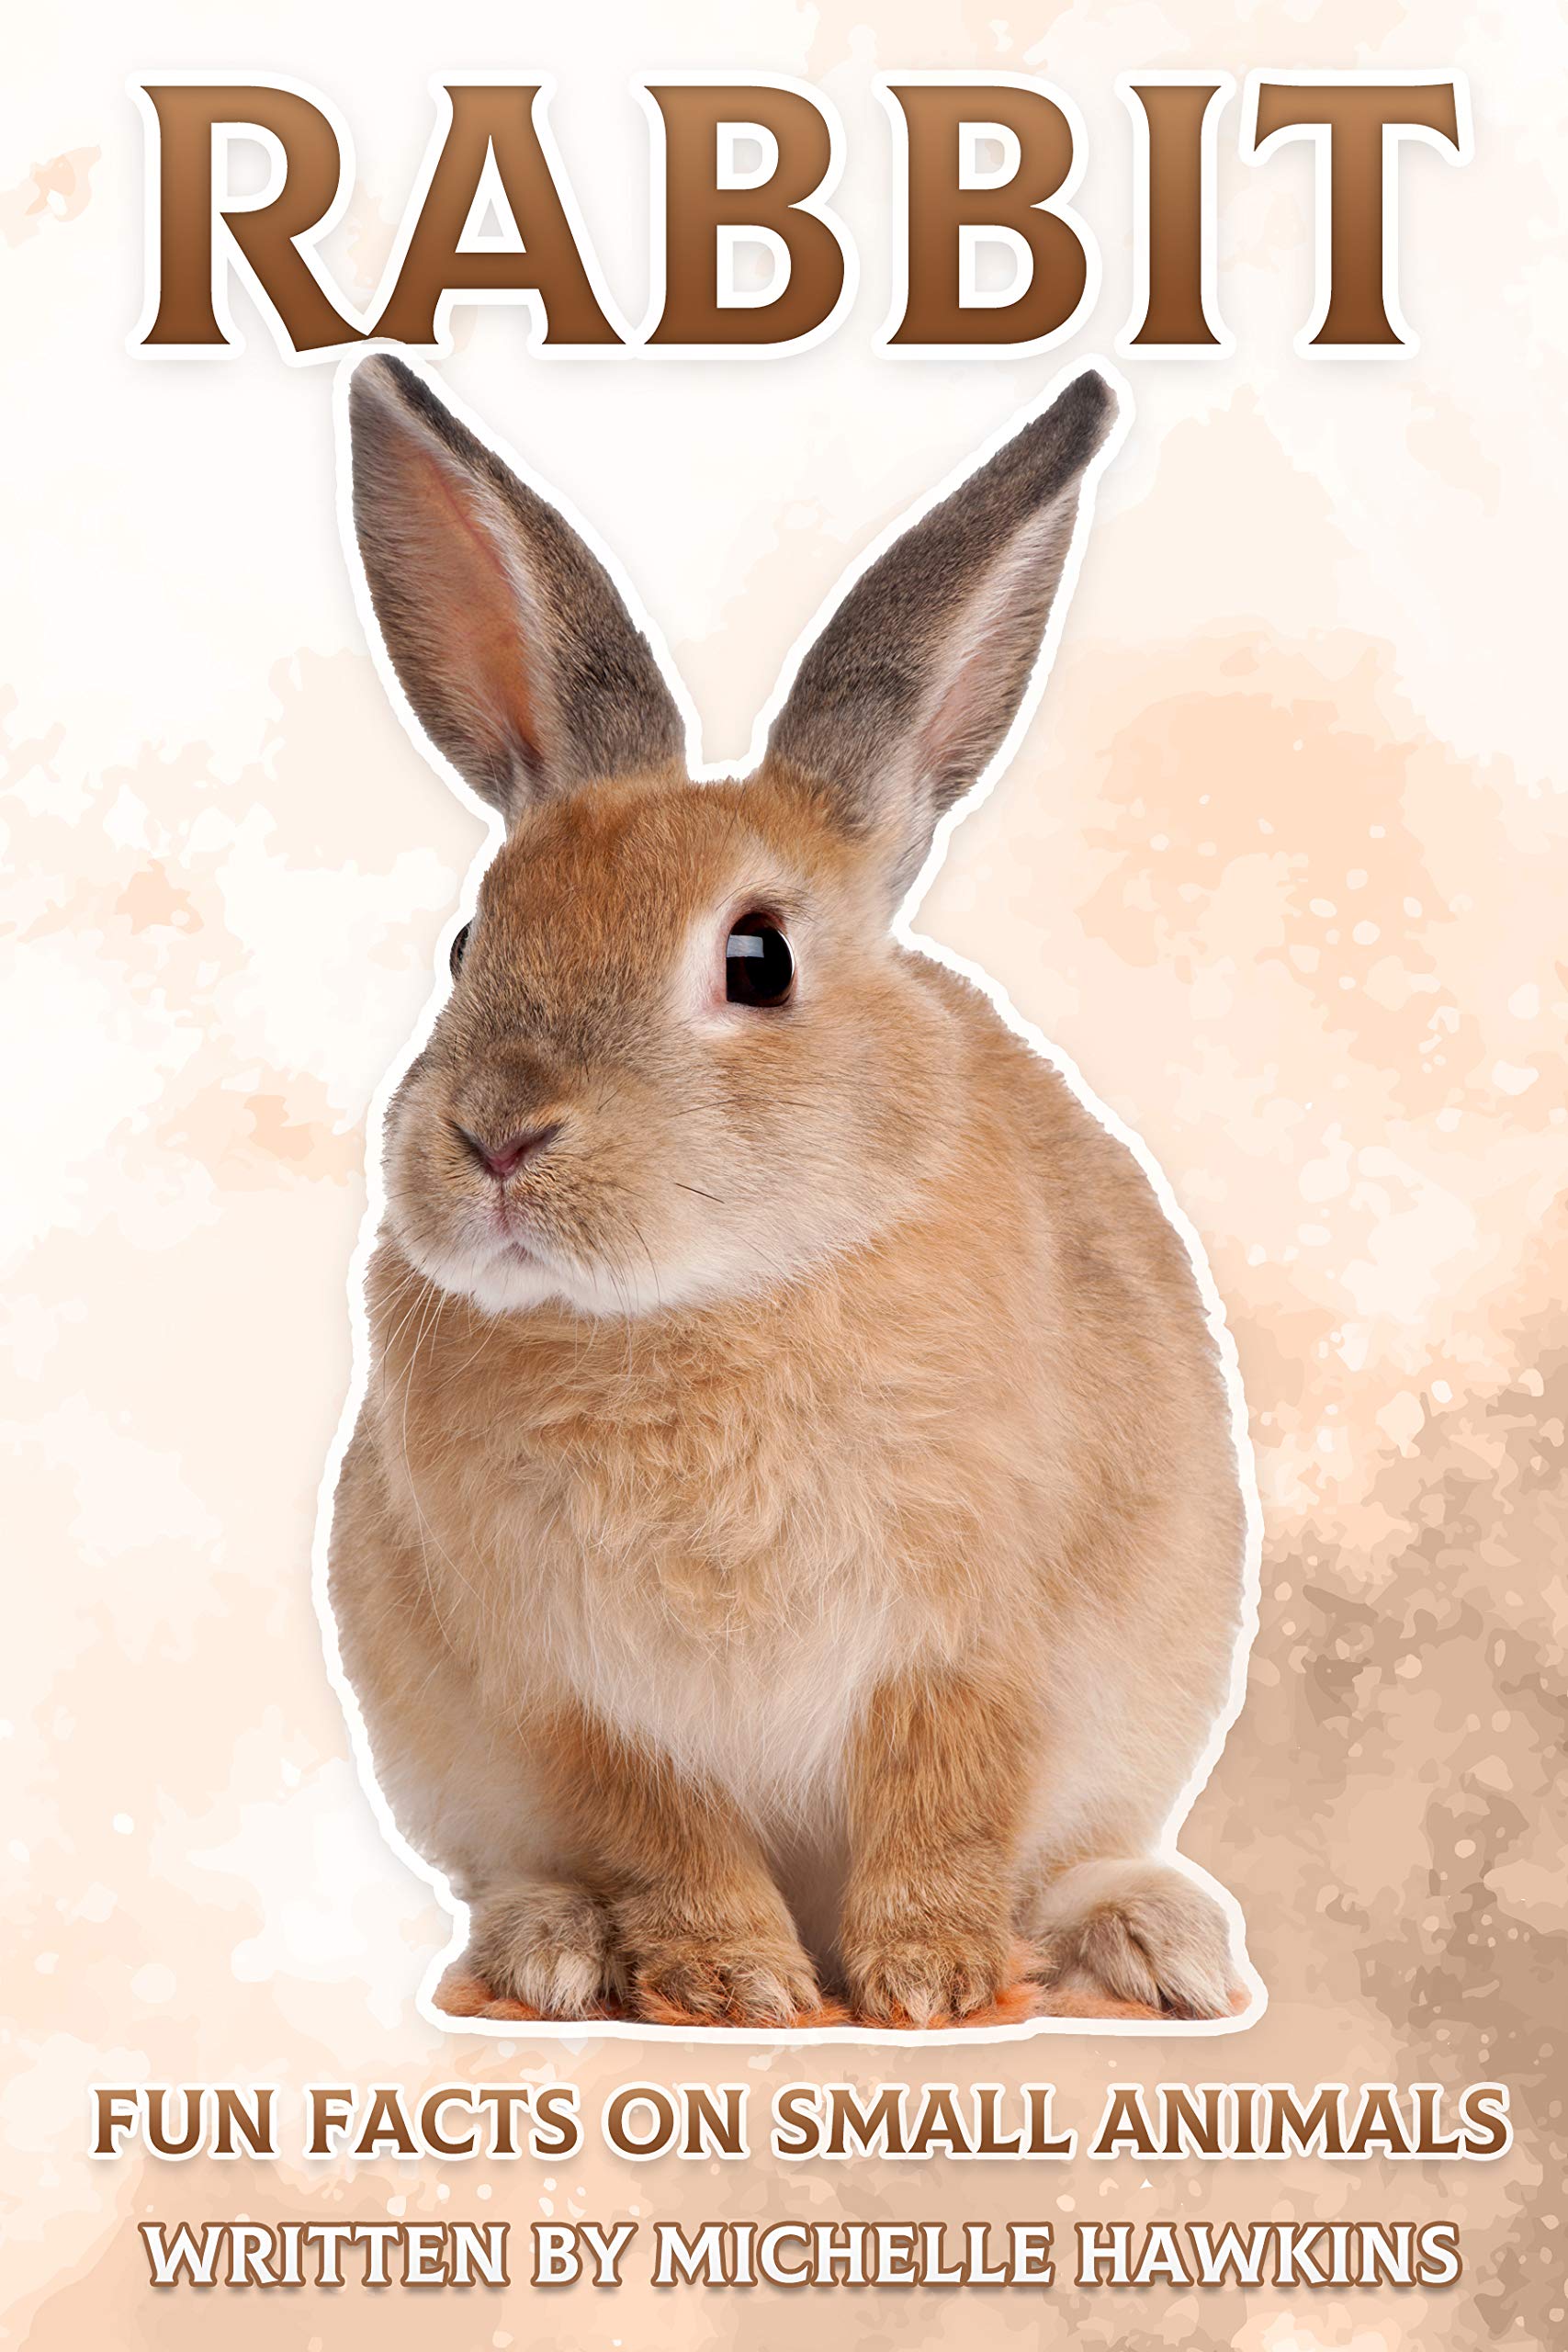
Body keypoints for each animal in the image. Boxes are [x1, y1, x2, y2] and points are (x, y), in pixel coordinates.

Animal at [327, 351, 1252, 2030]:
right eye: (470, 944)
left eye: (754, 958)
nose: (496, 1138)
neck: (697, 1309)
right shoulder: (576, 1695)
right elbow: (663, 1835)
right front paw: (737, 1987)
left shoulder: (974, 1648)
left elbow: (945, 1807)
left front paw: (931, 1988)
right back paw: (546, 1955)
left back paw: (1150, 1945)